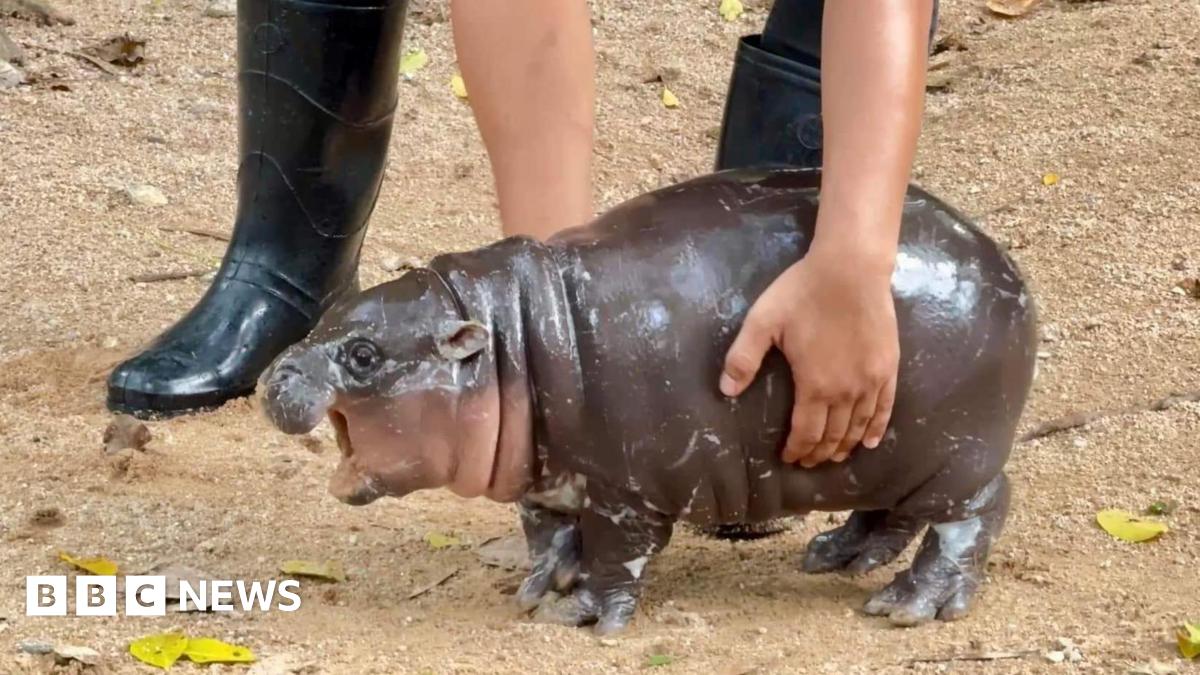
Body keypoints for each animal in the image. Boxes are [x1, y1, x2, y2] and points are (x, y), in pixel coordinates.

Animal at [258, 167, 1038, 636]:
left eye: (364, 354)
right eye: (330, 314)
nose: (273, 375)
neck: (510, 341)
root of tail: (1007, 265)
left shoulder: (626, 492)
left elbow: (615, 555)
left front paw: (582, 614)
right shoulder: (548, 479)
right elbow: (547, 531)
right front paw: (540, 585)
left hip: (955, 456)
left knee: (973, 515)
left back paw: (908, 606)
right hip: (883, 452)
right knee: (892, 513)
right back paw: (834, 556)